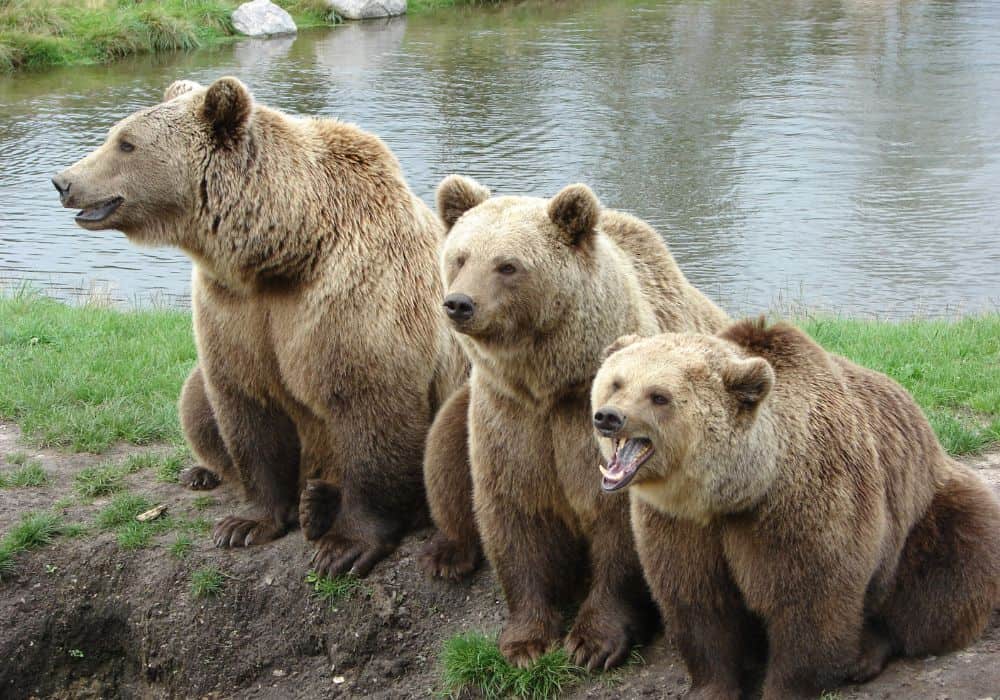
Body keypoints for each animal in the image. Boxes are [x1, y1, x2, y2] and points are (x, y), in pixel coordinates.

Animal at [53, 76, 468, 576]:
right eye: (117, 134)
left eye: (126, 143)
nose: (63, 181)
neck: (284, 252)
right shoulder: (234, 309)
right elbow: (246, 405)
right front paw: (245, 523)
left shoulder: (356, 298)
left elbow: (370, 407)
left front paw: (345, 546)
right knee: (194, 399)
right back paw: (213, 474)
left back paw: (321, 503)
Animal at [423, 174, 729, 669]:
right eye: (460, 256)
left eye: (507, 265)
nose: (459, 304)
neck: (550, 383)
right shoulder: (511, 415)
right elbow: (515, 512)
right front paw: (526, 641)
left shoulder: (589, 425)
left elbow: (620, 528)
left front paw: (592, 642)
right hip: (464, 403)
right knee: (443, 449)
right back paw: (447, 553)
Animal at [590, 319, 1000, 699]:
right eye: (616, 383)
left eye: (658, 396)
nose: (609, 417)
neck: (731, 493)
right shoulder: (679, 523)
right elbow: (698, 601)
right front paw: (710, 686)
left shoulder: (803, 502)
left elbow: (809, 603)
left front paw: (786, 686)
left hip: (926, 511)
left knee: (948, 573)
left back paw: (866, 652)